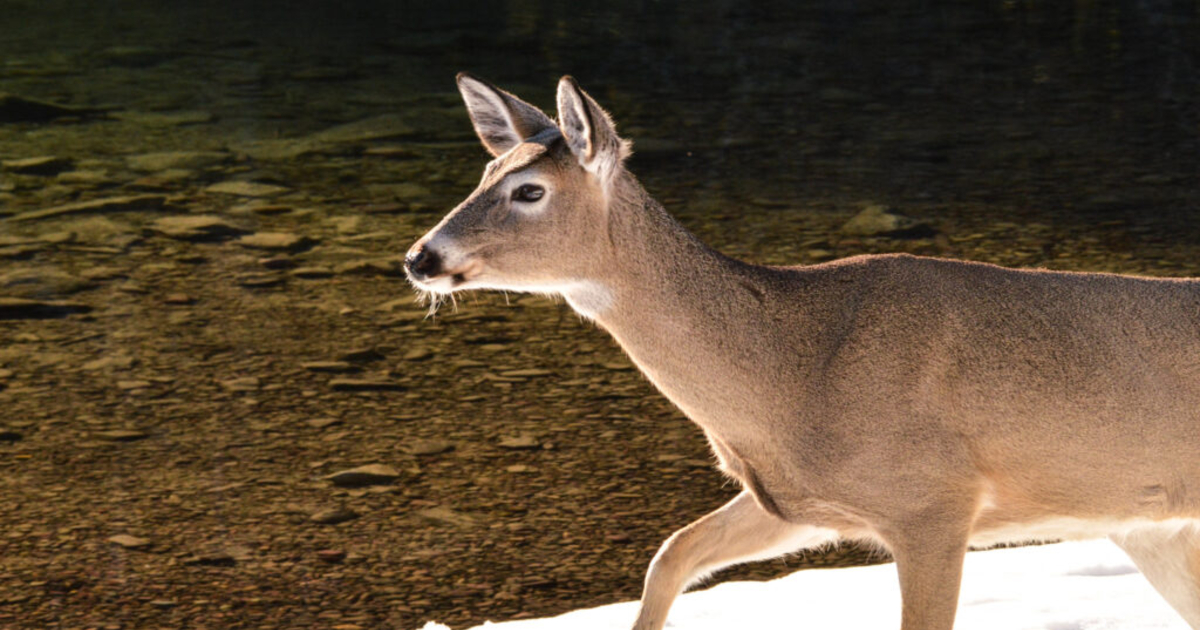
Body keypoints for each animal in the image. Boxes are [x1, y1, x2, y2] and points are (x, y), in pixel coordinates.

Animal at [403, 73, 1200, 630]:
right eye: (484, 174)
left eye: (529, 190)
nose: (420, 257)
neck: (793, 376)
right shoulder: (798, 502)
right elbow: (671, 554)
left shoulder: (933, 501)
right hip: (1151, 525)